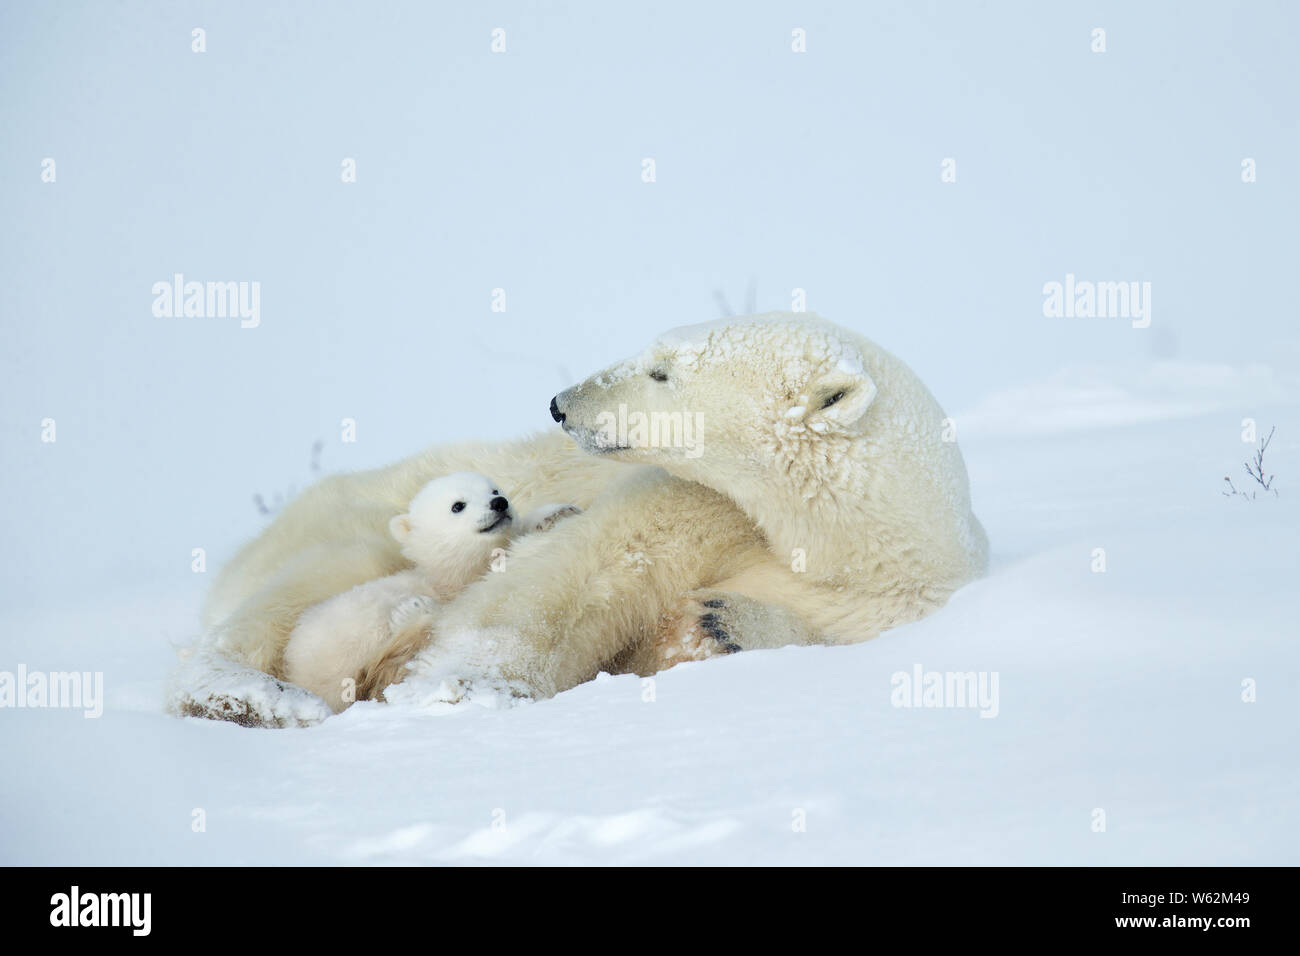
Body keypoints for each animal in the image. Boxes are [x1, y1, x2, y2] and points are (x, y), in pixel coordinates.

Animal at [281, 472, 580, 712]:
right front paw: (411, 611)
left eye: (494, 490)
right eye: (458, 506)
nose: (499, 503)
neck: (450, 578)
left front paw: (556, 511)